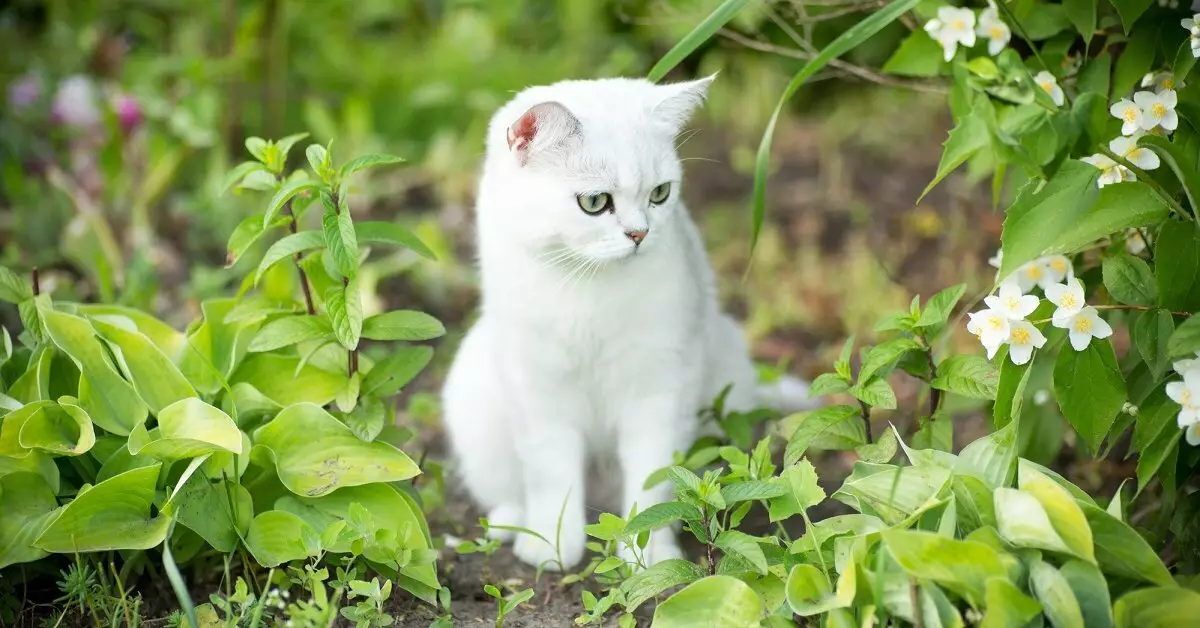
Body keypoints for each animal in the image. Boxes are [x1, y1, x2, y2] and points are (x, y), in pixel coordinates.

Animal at [441, 76, 816, 571]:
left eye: (659, 194)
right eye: (594, 202)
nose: (639, 234)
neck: (588, 285)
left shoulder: (660, 388)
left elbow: (652, 478)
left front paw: (649, 551)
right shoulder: (538, 391)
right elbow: (550, 474)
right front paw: (552, 546)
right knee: (509, 492)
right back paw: (512, 524)